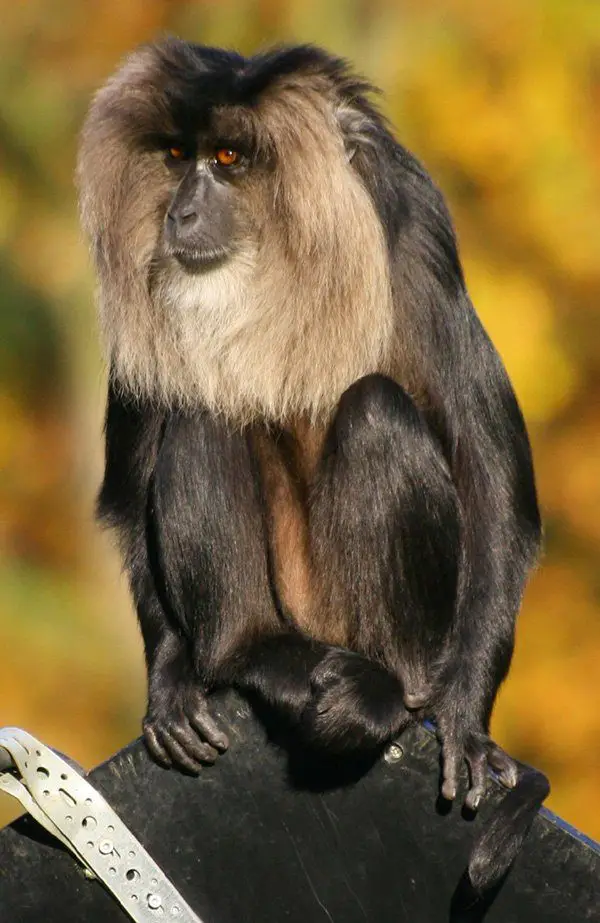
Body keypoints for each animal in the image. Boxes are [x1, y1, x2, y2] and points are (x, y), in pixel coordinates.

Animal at [77, 39, 550, 899]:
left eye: (229, 159)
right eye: (178, 157)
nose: (180, 213)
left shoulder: (414, 227)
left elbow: (494, 477)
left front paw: (466, 718)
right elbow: (129, 490)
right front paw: (171, 678)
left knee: (375, 410)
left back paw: (398, 693)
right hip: (291, 604)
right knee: (200, 411)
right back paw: (253, 659)